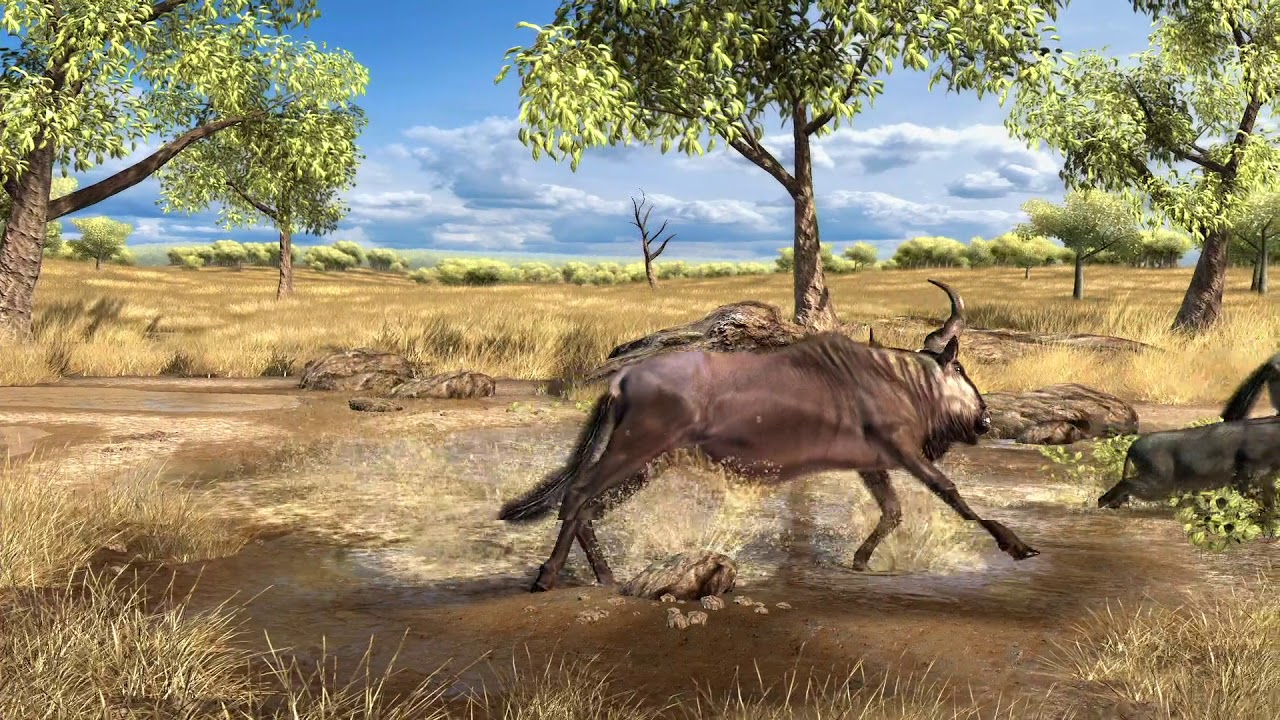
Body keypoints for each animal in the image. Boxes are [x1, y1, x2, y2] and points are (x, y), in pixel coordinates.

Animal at [499, 280, 1040, 593]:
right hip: (634, 450)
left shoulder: (873, 464)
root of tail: (621, 381)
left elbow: (892, 513)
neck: (897, 378)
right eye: (962, 369)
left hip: (646, 465)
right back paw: (548, 576)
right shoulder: (904, 452)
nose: (985, 420)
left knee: (588, 506)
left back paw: (606, 577)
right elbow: (952, 494)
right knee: (577, 494)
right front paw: (1015, 545)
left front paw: (860, 562)